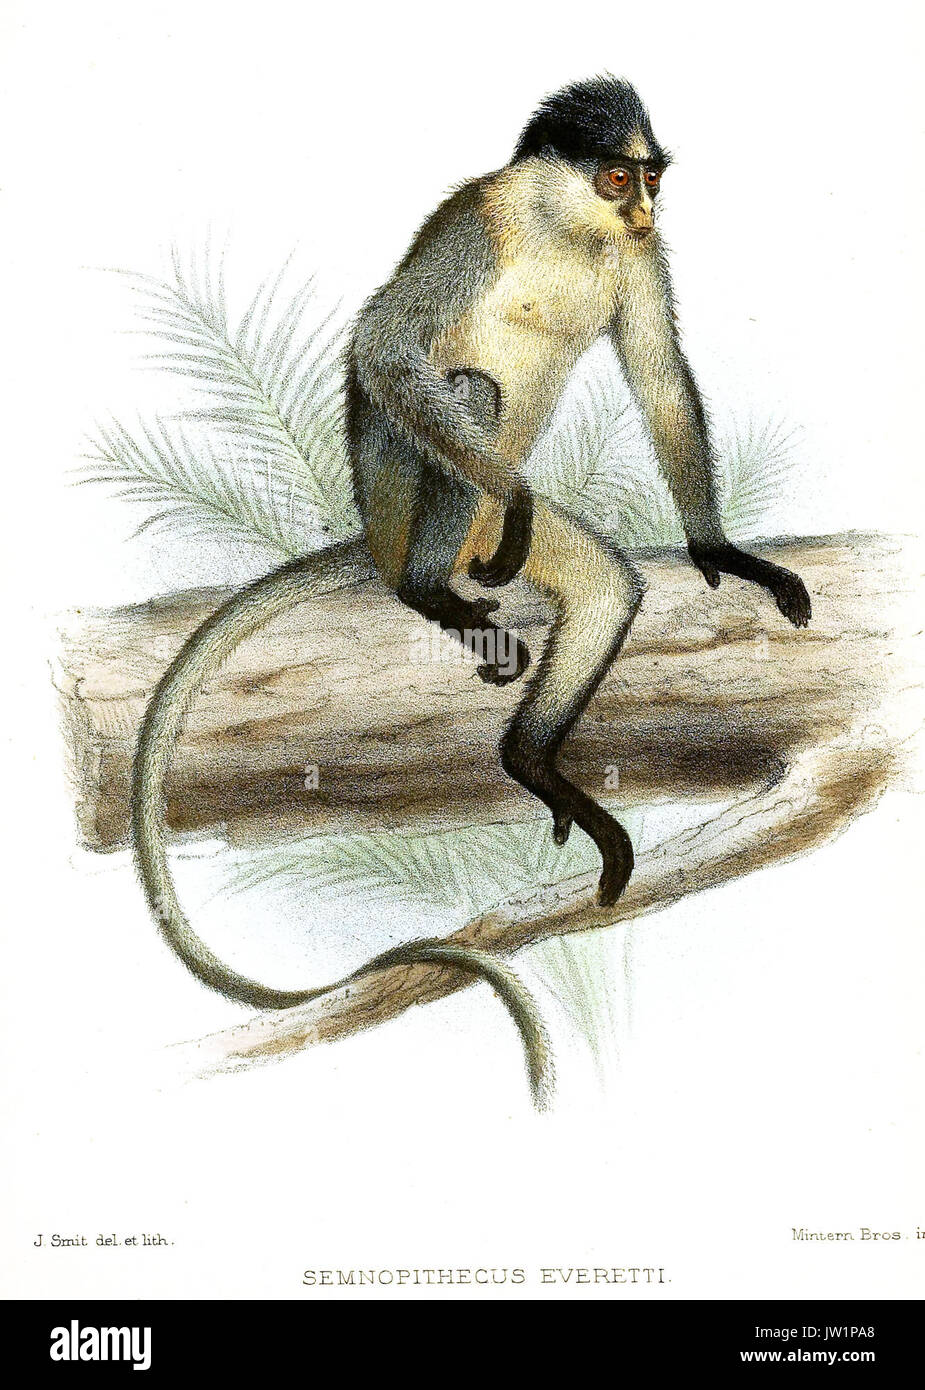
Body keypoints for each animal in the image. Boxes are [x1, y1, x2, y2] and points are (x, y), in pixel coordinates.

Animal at [132, 75, 811, 1108]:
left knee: (604, 584)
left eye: (647, 180)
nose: (645, 211)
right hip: (400, 493)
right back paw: (428, 589)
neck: (564, 228)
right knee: (468, 391)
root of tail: (376, 539)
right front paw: (521, 490)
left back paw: (528, 758)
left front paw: (722, 549)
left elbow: (658, 379)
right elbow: (385, 347)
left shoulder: (634, 256)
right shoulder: (479, 219)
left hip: (494, 546)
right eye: (616, 177)